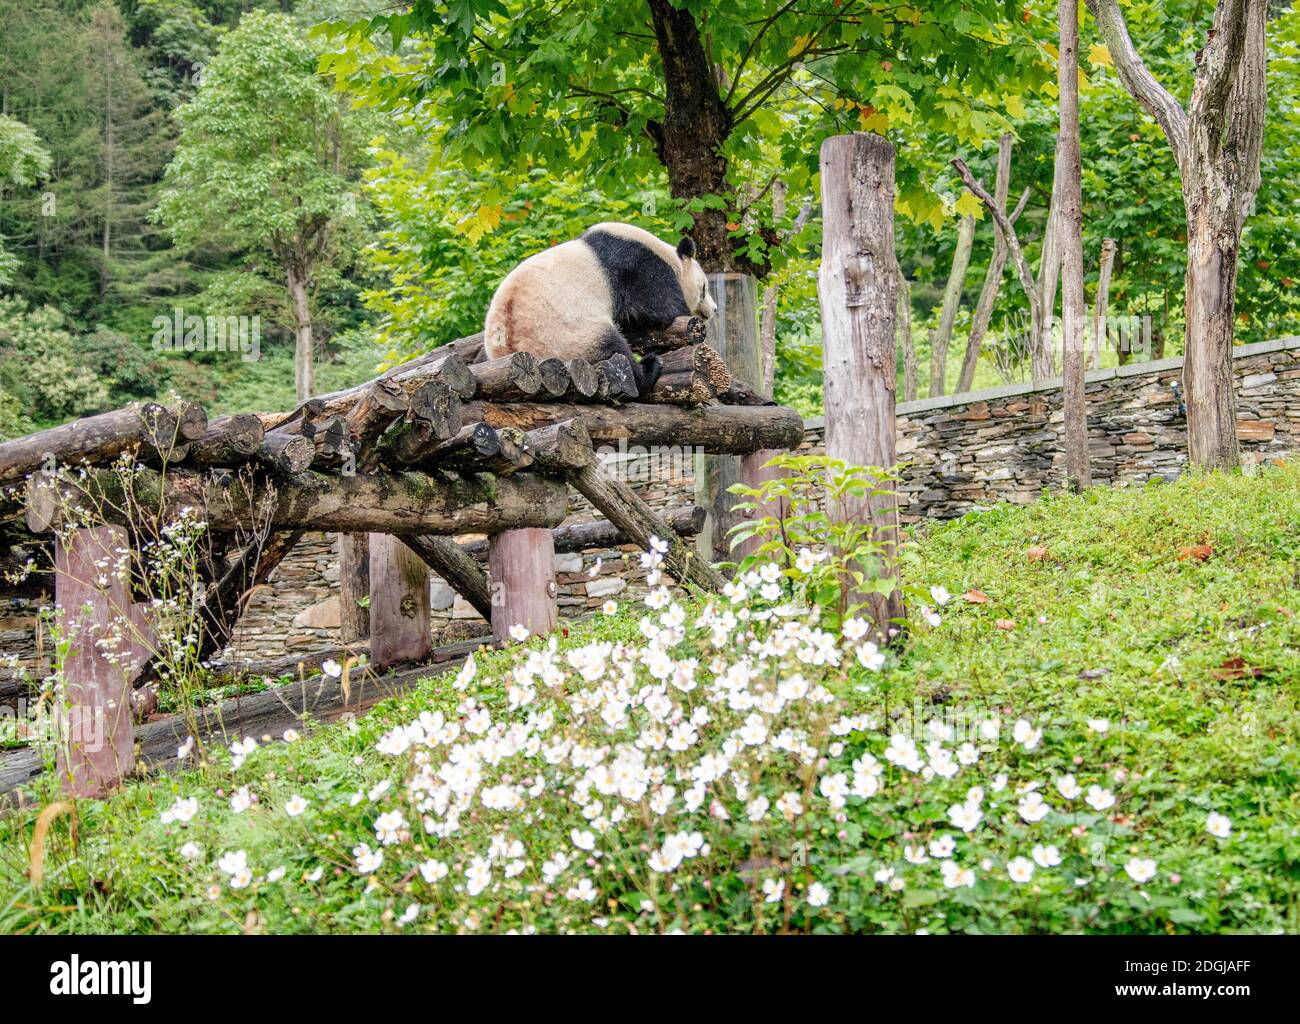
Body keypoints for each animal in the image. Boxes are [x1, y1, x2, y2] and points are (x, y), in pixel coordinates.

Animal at [483, 222, 718, 395]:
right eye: (704, 288)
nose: (714, 309)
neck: (668, 256)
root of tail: (508, 347)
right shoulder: (640, 268)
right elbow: (662, 309)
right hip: (565, 339)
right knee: (614, 352)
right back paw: (648, 369)